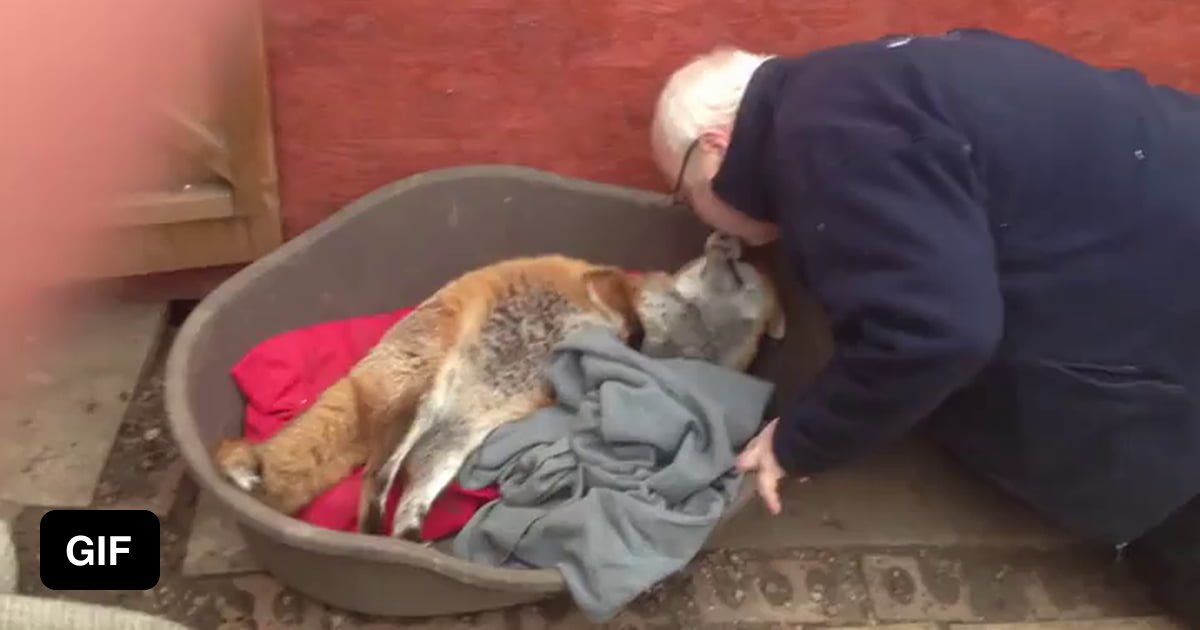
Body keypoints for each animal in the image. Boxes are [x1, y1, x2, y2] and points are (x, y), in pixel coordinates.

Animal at [213, 231, 786, 540]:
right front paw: (630, 335)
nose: (724, 237)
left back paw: (412, 544)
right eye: (714, 258)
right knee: (376, 482)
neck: (685, 333)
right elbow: (625, 314)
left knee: (408, 499)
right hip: (420, 405)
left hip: (451, 443)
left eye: (745, 267)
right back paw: (374, 539)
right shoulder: (614, 286)